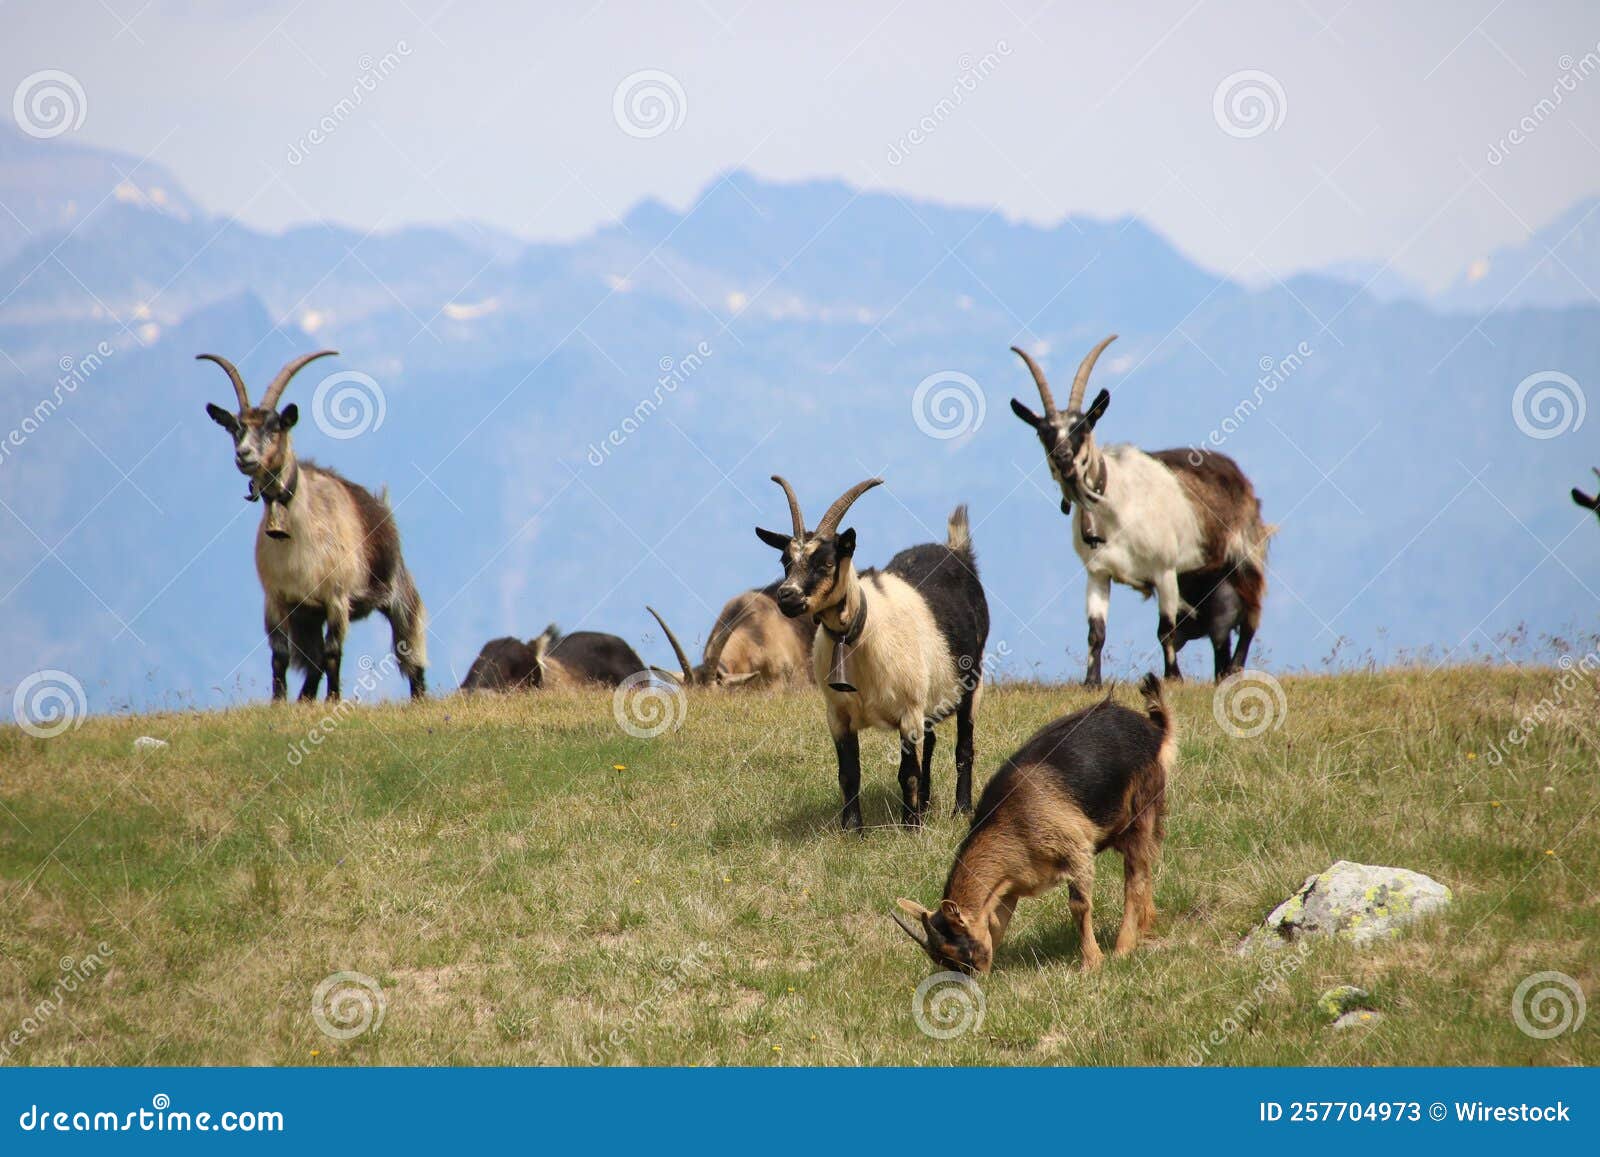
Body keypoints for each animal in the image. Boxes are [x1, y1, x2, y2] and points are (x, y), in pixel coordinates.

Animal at [201, 351, 426, 702]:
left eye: (275, 427)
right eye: (236, 428)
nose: (244, 455)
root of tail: (381, 504)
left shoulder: (337, 598)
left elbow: (334, 652)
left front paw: (334, 700)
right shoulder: (278, 599)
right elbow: (280, 656)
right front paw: (278, 702)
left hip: (397, 590)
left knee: (408, 648)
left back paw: (418, 695)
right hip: (306, 618)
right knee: (313, 661)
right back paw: (304, 698)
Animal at [755, 477, 989, 830]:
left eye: (827, 562)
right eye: (786, 561)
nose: (787, 596)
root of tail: (956, 549)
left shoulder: (909, 711)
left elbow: (908, 773)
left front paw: (910, 828)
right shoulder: (838, 714)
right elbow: (849, 774)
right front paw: (852, 829)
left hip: (972, 681)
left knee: (964, 747)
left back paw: (960, 809)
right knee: (932, 742)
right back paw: (926, 804)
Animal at [893, 674, 1172, 974]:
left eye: (962, 953)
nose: (972, 977)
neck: (1013, 824)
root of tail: (1154, 729)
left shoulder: (1076, 850)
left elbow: (1079, 905)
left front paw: (1092, 961)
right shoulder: (1011, 882)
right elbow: (997, 922)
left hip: (1142, 809)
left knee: (1136, 875)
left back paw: (1123, 947)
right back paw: (1145, 924)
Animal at [1009, 337, 1271, 685]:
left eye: (1083, 426)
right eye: (1043, 431)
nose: (1063, 458)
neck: (1115, 508)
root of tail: (1238, 476)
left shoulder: (1166, 571)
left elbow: (1165, 630)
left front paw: (1173, 678)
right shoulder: (1098, 572)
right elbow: (1096, 631)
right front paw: (1091, 682)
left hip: (1245, 554)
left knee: (1251, 615)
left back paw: (1234, 670)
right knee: (1221, 631)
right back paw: (1222, 672)